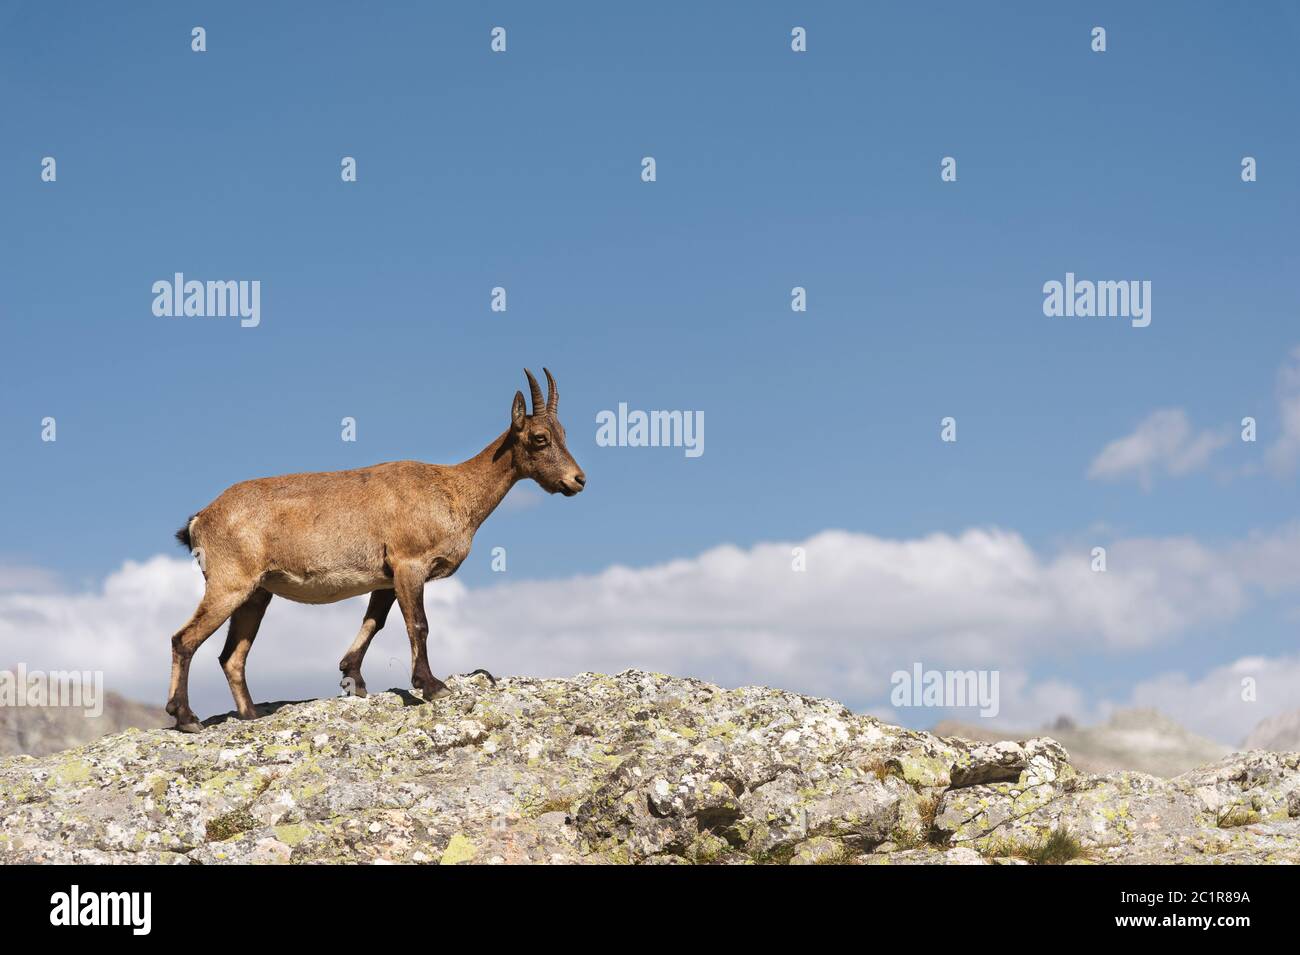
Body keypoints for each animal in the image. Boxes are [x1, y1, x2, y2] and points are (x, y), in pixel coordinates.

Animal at [167, 369, 585, 732]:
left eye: (563, 432)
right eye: (540, 437)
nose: (578, 479)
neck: (452, 490)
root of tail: (201, 519)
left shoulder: (385, 578)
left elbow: (375, 622)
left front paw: (352, 675)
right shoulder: (409, 563)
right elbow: (418, 623)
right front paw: (431, 685)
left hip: (257, 593)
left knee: (232, 657)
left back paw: (251, 716)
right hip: (230, 582)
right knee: (183, 640)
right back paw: (186, 717)